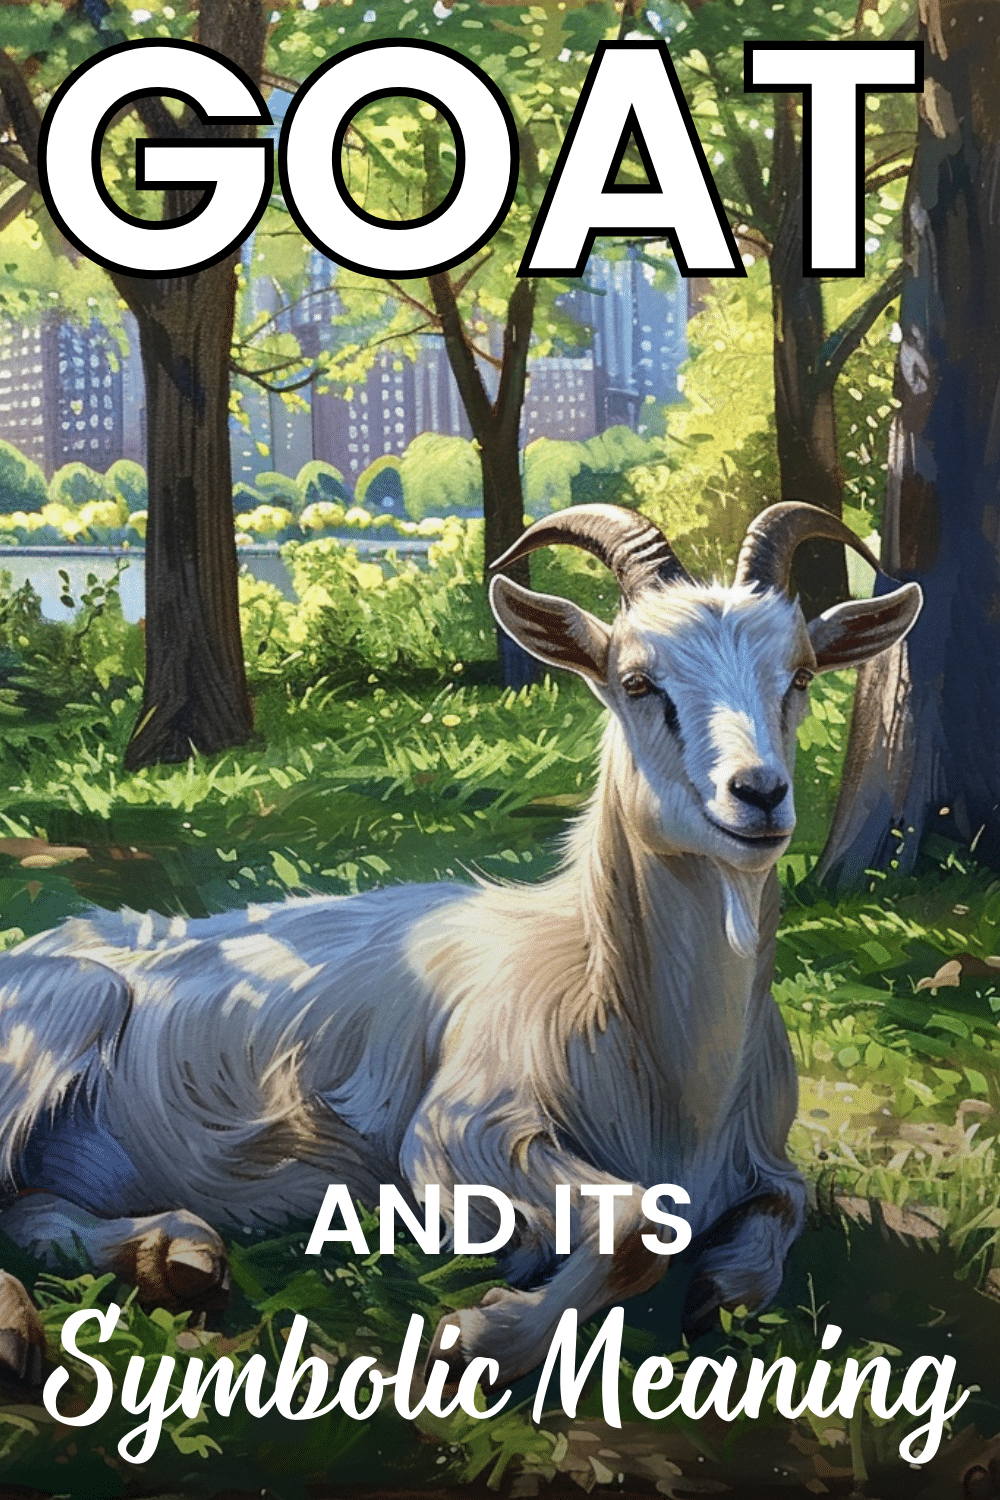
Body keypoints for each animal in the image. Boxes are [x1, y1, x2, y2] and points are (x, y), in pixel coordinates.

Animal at [0, 502, 920, 1390]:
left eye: (799, 676)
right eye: (636, 681)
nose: (759, 794)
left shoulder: (765, 1164)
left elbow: (777, 1215)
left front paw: (719, 1286)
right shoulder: (456, 1132)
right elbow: (633, 1223)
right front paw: (479, 1333)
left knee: (32, 1212)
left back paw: (174, 1255)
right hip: (64, 1013)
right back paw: (28, 1330)